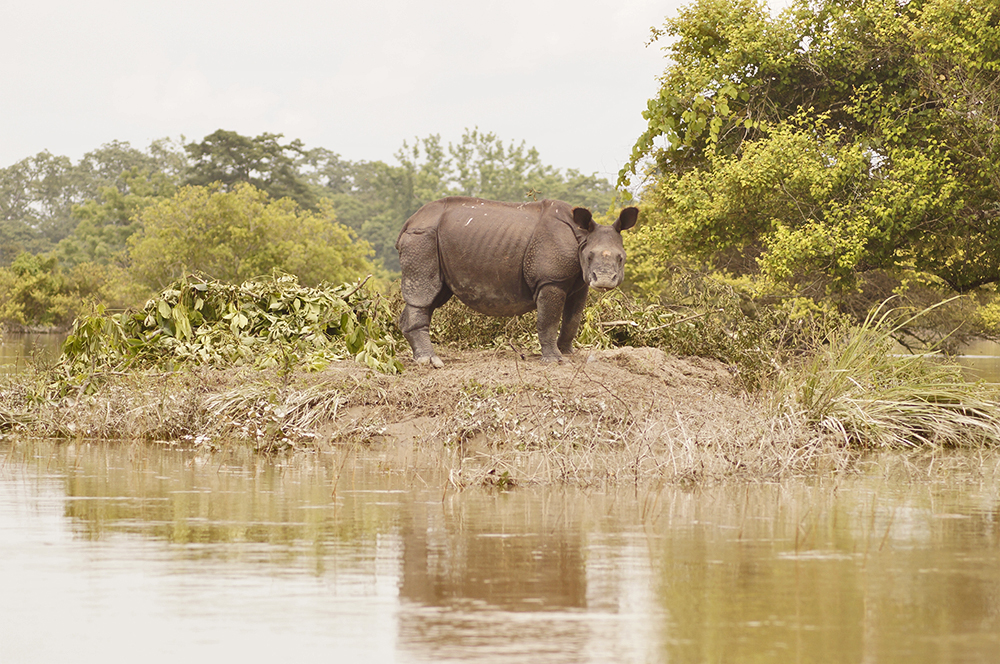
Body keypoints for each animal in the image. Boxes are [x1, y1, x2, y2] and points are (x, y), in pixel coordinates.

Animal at [395, 196, 639, 367]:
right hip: (422, 237)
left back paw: (420, 358)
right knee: (424, 294)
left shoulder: (580, 282)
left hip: (431, 239)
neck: (582, 238)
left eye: (621, 258)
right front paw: (556, 360)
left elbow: (573, 319)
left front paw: (568, 352)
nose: (604, 280)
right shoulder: (551, 280)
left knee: (434, 296)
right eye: (589, 257)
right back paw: (431, 361)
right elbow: (549, 320)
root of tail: (408, 222)